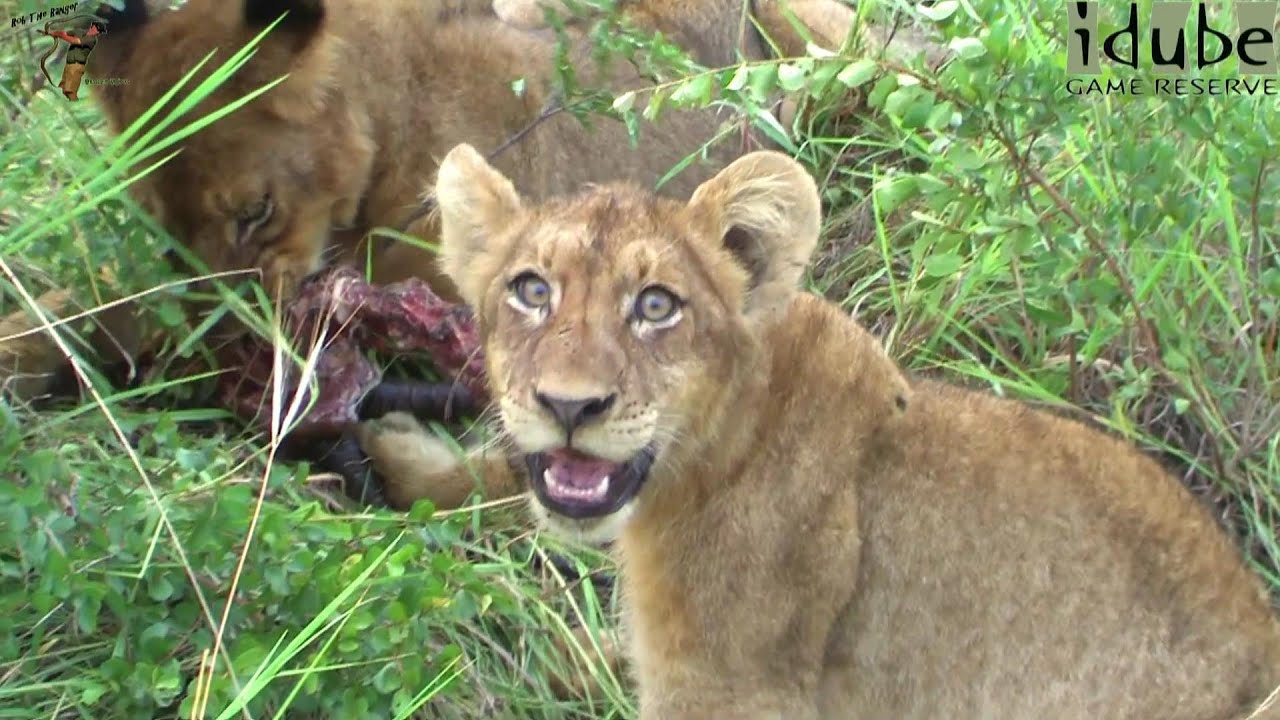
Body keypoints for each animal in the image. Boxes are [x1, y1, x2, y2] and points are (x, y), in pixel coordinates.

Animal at [356, 142, 1280, 718]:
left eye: (656, 306)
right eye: (531, 291)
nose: (571, 407)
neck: (707, 458)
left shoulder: (730, 690)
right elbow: (512, 476)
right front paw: (401, 451)